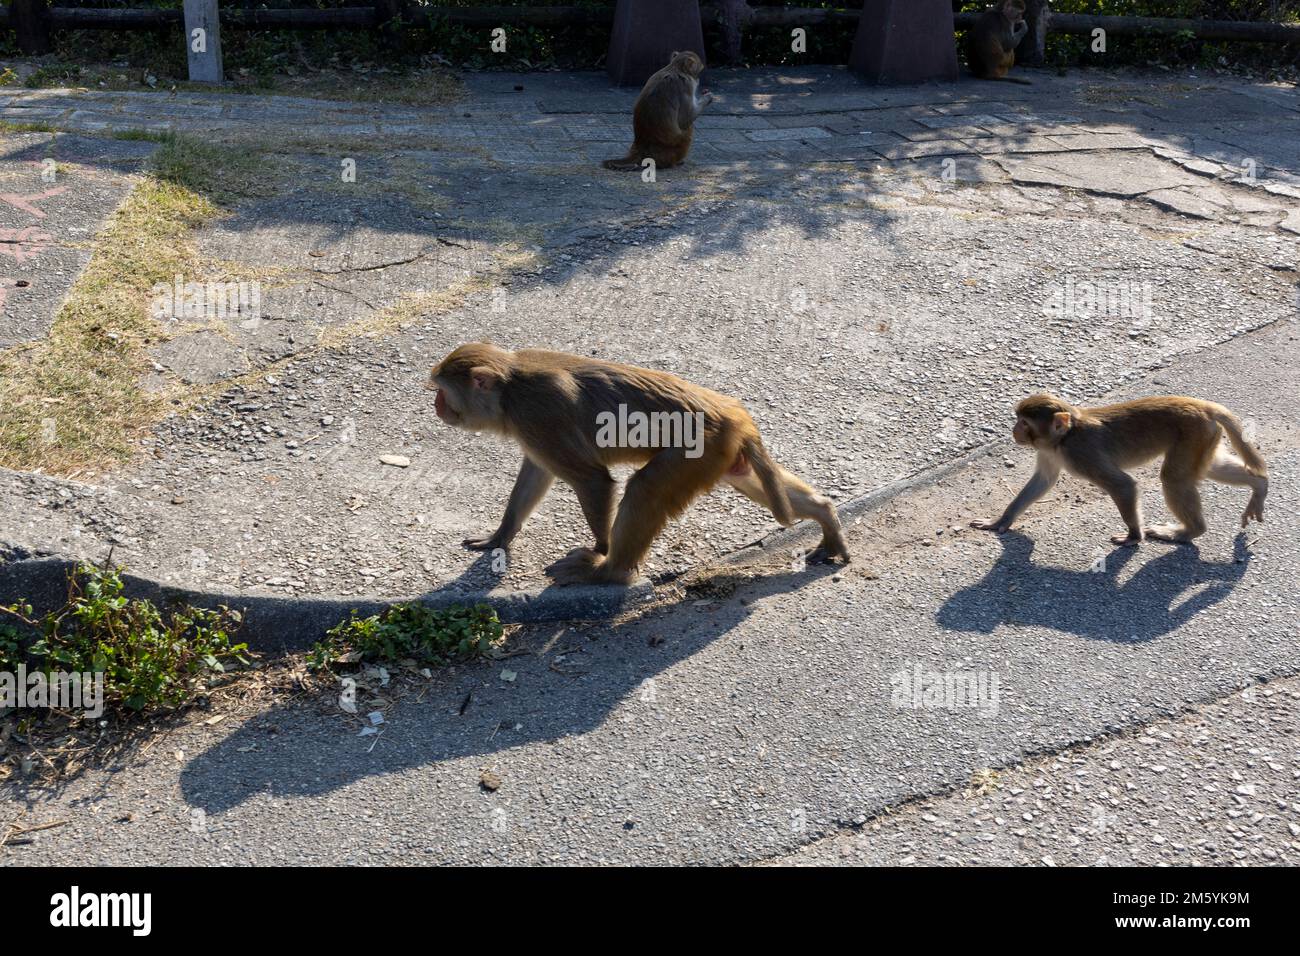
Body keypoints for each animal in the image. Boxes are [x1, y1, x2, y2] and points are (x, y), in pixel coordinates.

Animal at [429, 343, 850, 586]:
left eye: (443, 392)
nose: (436, 406)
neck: (509, 389)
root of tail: (734, 413)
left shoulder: (536, 415)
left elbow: (593, 480)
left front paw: (600, 549)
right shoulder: (530, 429)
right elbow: (537, 473)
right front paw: (501, 536)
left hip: (698, 449)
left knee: (645, 489)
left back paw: (607, 571)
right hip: (723, 454)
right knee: (746, 479)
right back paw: (826, 514)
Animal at [971, 394, 1268, 546]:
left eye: (1024, 423)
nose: (1014, 430)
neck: (1065, 436)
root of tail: (1203, 405)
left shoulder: (1081, 454)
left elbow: (1123, 485)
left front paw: (1132, 537)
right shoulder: (1049, 451)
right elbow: (1043, 481)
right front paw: (1001, 520)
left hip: (1193, 434)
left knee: (1173, 479)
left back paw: (1188, 531)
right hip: (1204, 438)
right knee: (1206, 469)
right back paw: (1259, 485)